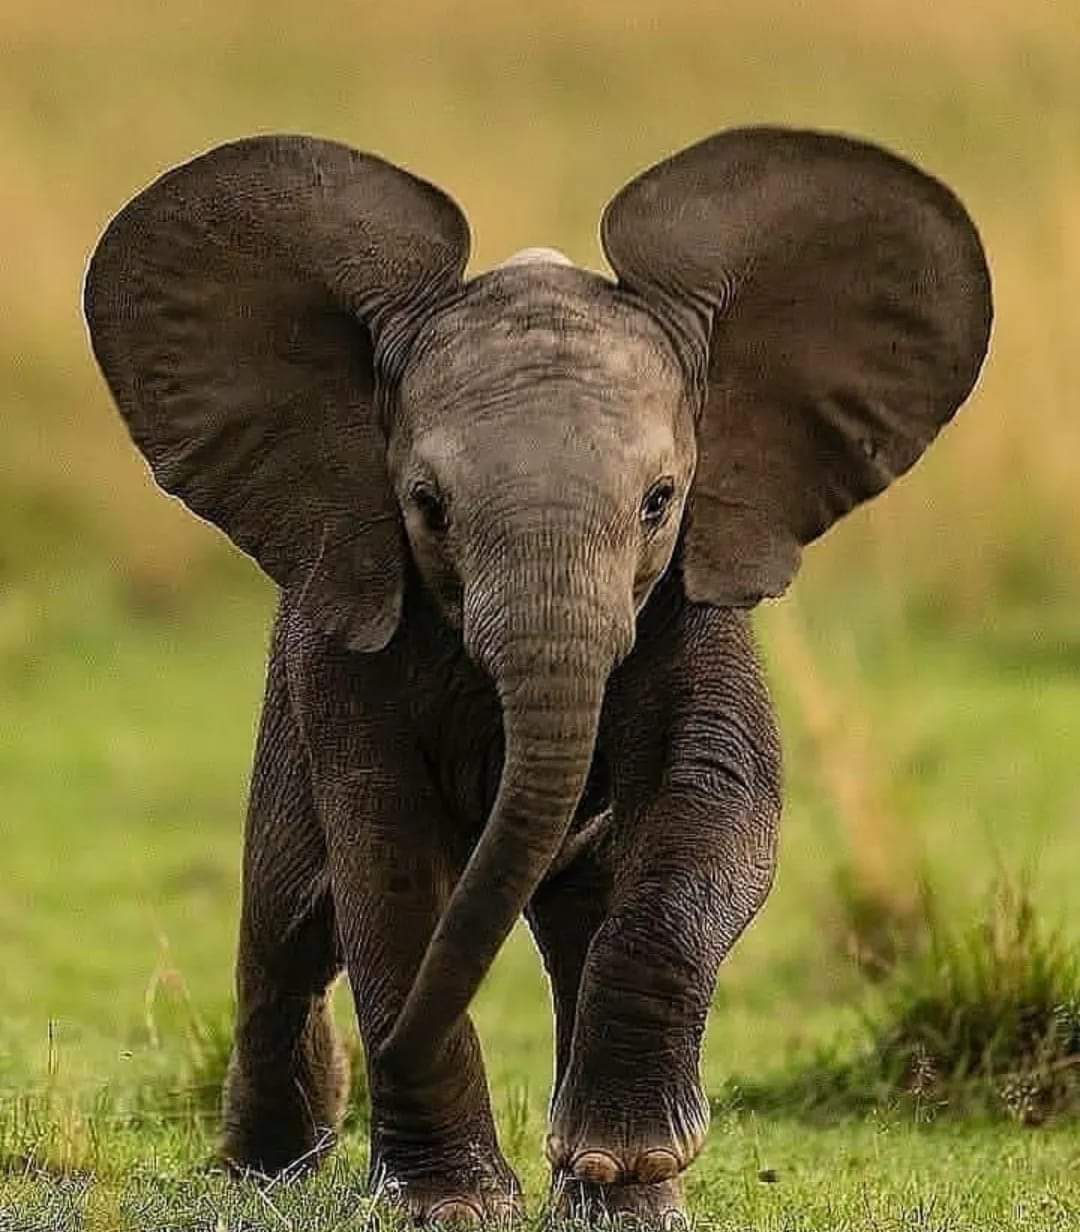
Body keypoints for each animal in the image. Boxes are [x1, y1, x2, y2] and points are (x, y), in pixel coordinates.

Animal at [83, 126, 991, 1224]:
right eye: (426, 504)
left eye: (660, 499)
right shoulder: (342, 650)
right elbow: (386, 854)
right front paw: (447, 1205)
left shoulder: (693, 598)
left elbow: (713, 803)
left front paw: (620, 1164)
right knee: (288, 927)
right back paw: (267, 1173)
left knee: (571, 926)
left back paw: (611, 1196)